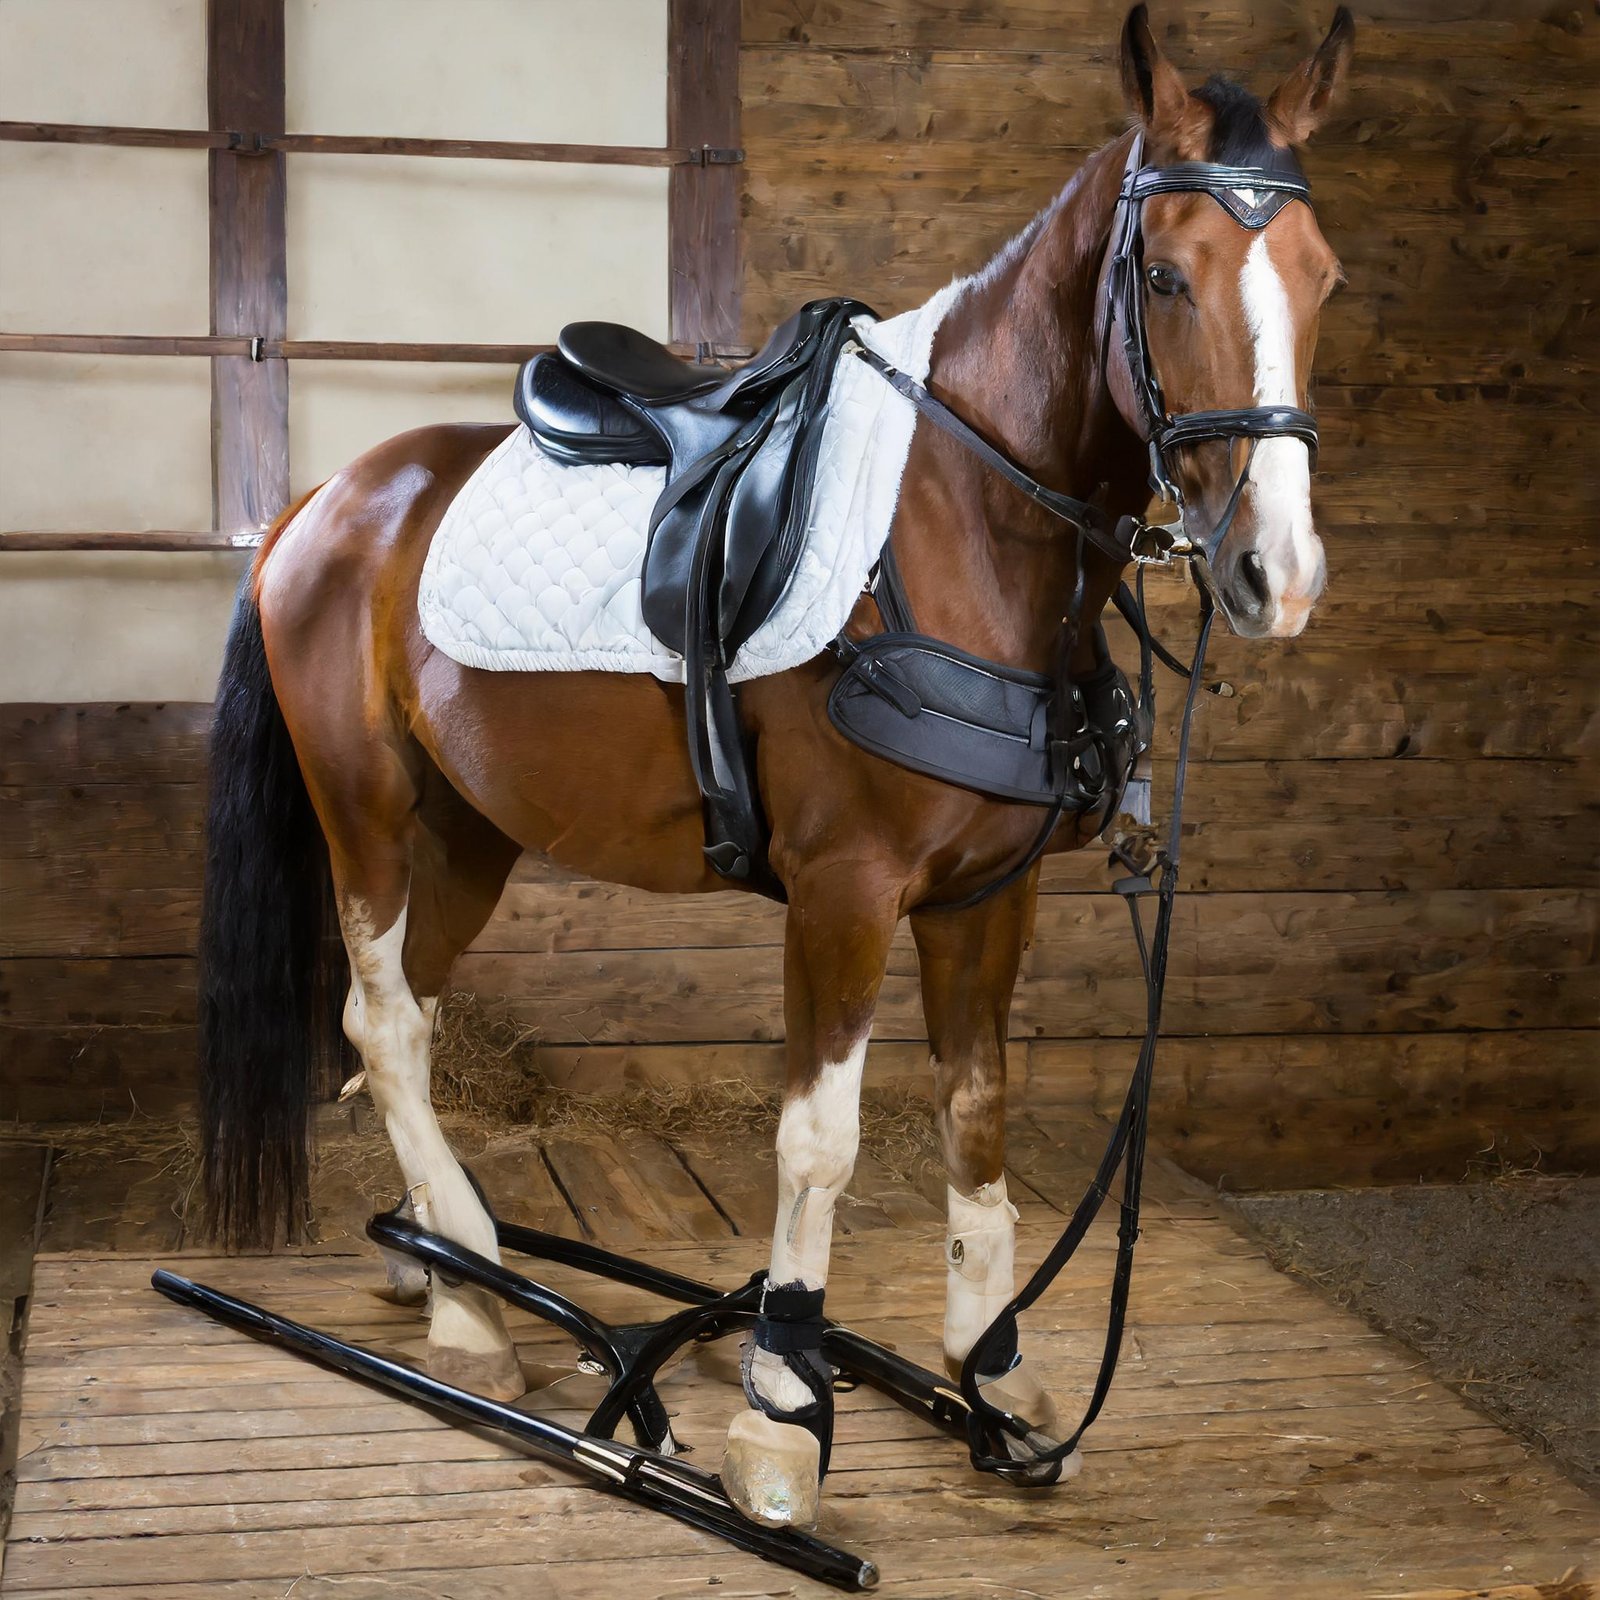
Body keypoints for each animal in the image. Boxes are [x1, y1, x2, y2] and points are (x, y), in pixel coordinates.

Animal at [197, 5, 1353, 1529]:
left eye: (1325, 278)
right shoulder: (845, 895)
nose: (1277, 573)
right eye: (1165, 276)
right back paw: (469, 1310)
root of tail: (319, 507)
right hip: (373, 819)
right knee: (384, 1022)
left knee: (404, 1020)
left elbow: (977, 1116)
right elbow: (821, 1143)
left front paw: (990, 1369)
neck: (956, 521)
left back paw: (438, 1254)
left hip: (470, 832)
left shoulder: (986, 899)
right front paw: (783, 1412)